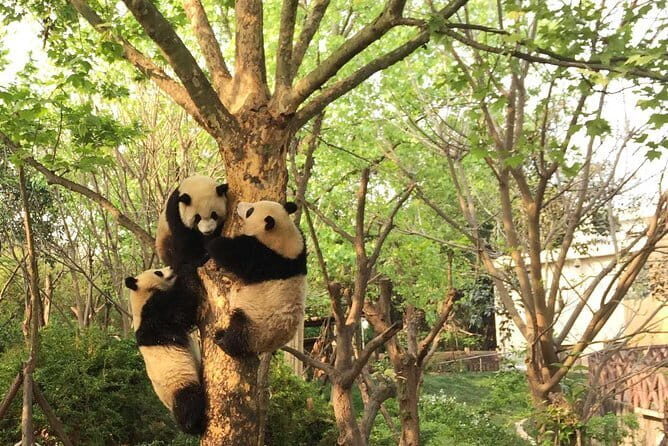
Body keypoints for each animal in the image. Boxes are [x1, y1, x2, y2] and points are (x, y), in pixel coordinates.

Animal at [124, 266, 206, 435]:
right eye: (158, 272)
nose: (171, 269)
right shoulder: (154, 315)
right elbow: (182, 306)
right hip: (178, 385)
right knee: (188, 402)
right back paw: (194, 425)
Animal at [206, 200, 307, 358]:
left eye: (250, 211)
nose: (239, 205)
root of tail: (267, 347)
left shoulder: (263, 258)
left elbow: (233, 254)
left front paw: (214, 241)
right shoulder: (300, 252)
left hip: (257, 325)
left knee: (239, 328)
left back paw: (223, 340)